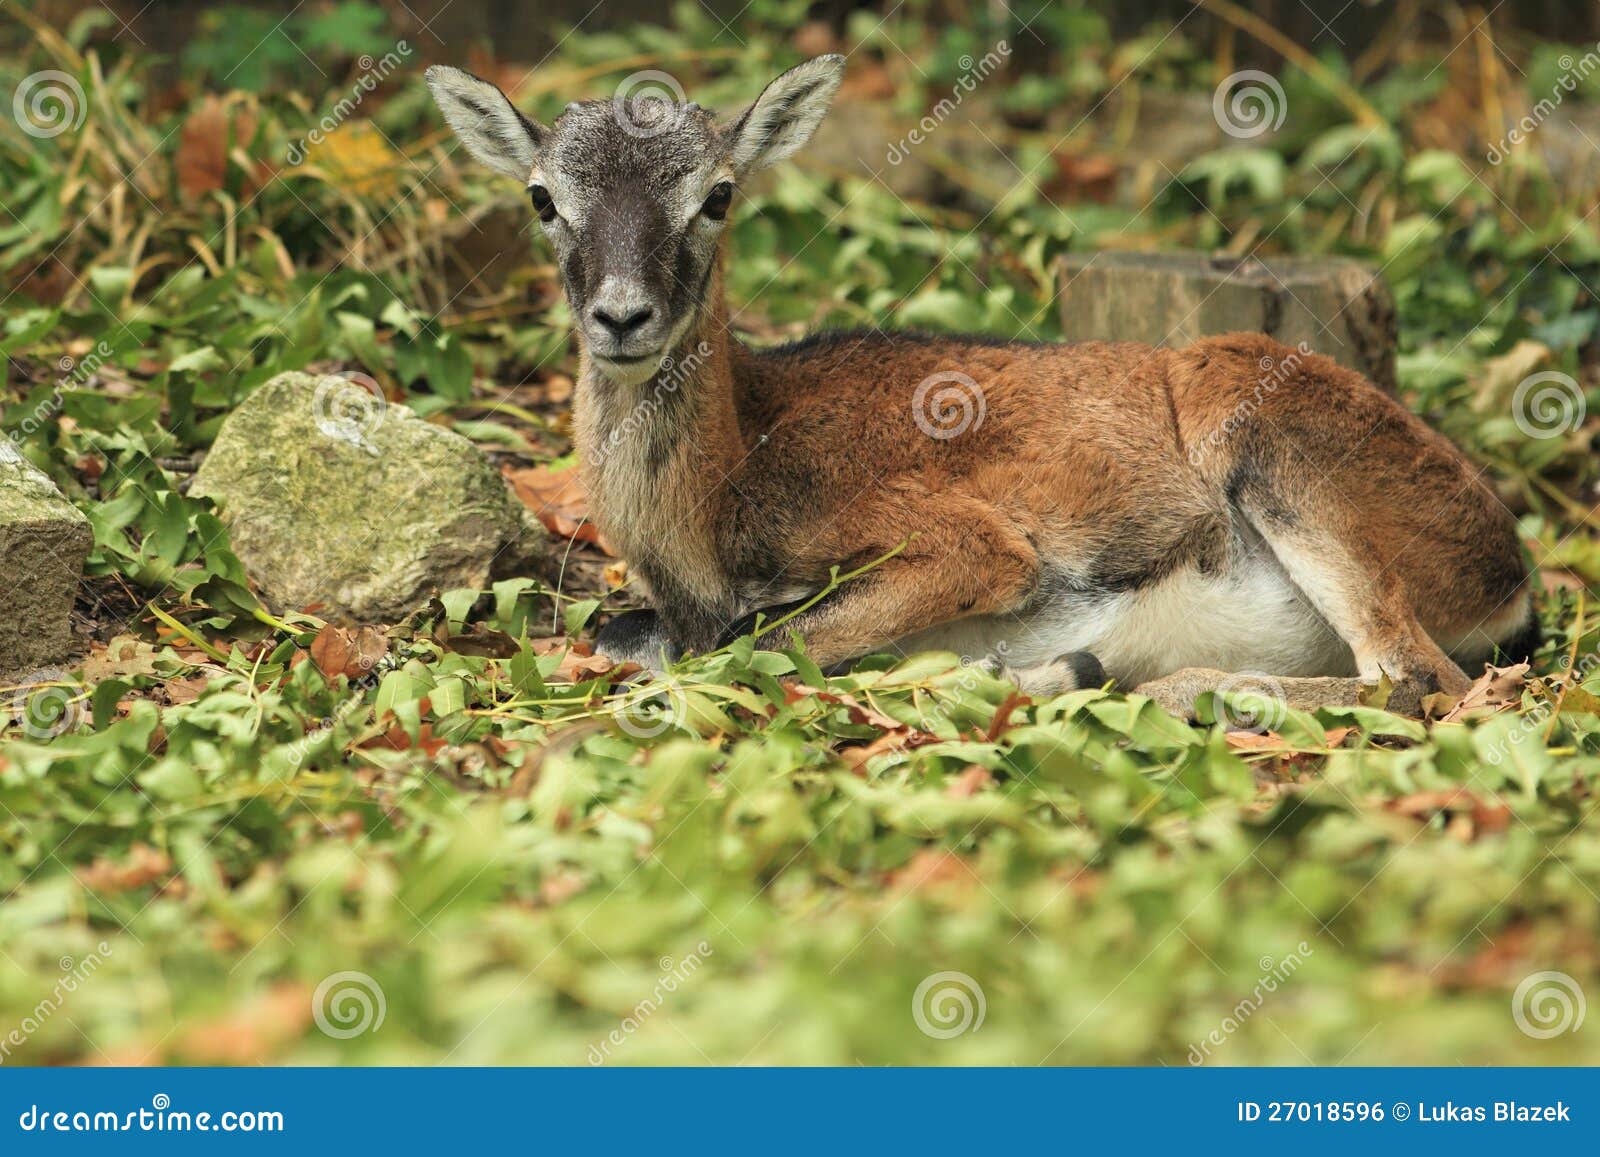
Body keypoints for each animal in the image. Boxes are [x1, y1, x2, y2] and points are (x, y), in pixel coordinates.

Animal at [425, 55, 1537, 718]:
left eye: (718, 195)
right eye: (542, 198)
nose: (622, 317)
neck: (719, 496)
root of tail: (1511, 577)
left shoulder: (965, 542)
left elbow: (762, 644)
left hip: (1270, 437)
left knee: (1415, 679)